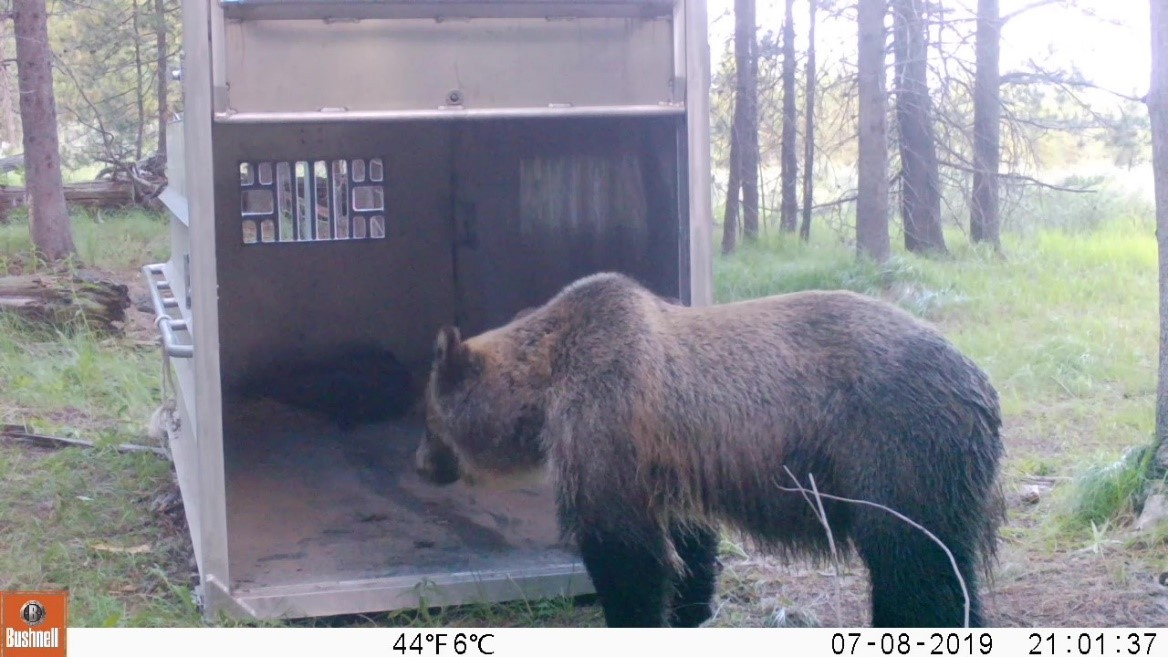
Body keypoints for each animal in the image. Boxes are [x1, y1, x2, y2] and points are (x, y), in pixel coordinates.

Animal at [414, 271, 1005, 628]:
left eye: (426, 416)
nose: (420, 464)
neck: (546, 383)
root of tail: (982, 383)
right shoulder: (672, 457)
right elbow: (687, 541)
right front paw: (689, 607)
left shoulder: (606, 425)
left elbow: (622, 550)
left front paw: (634, 613)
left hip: (895, 449)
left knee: (915, 563)